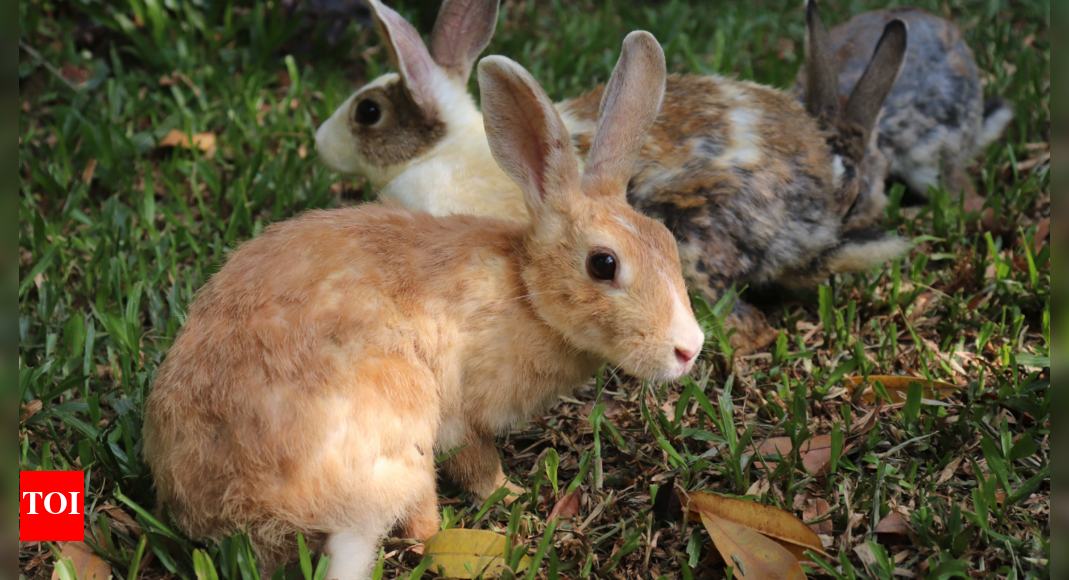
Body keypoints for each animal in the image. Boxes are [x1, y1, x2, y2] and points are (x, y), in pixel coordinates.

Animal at [144, 31, 704, 580]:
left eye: (668, 244)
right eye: (603, 264)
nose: (690, 350)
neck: (526, 289)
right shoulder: (459, 414)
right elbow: (475, 462)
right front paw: (512, 494)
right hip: (404, 428)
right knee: (418, 522)